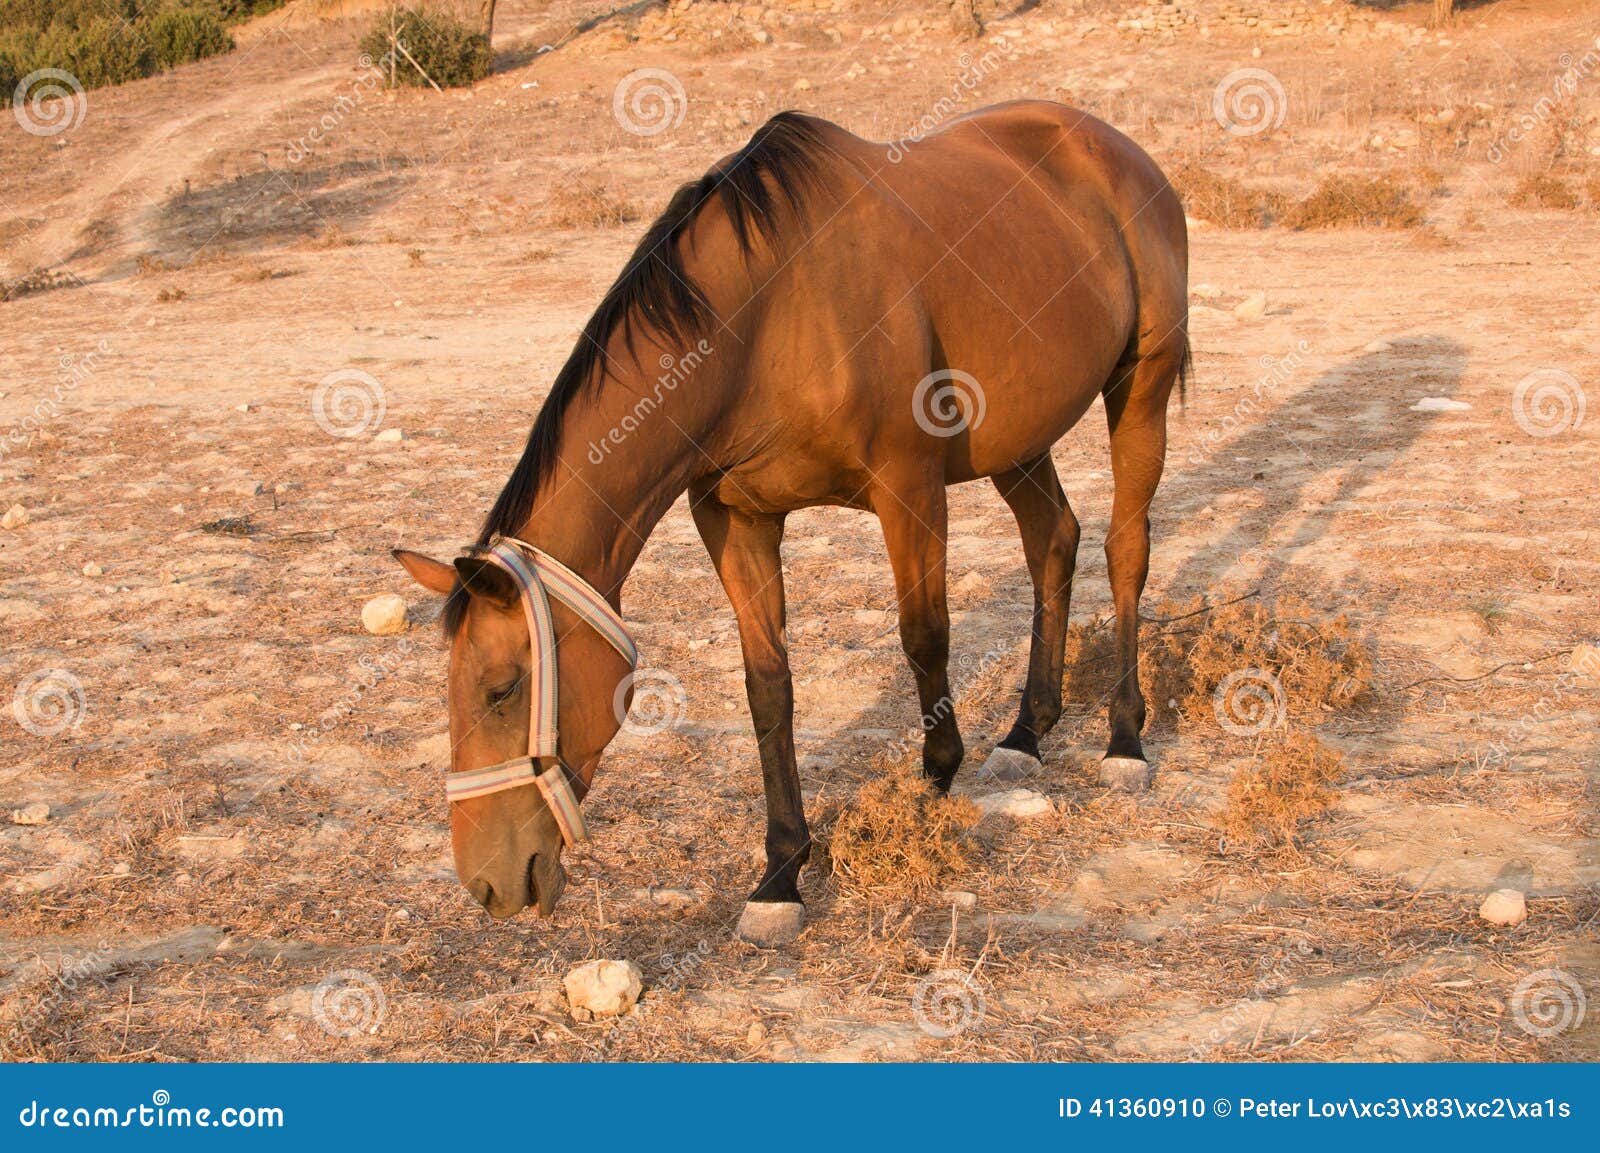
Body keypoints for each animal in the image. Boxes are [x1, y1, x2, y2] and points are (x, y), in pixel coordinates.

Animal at [394, 100, 1189, 947]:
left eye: (503, 689)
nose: (487, 880)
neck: (770, 315)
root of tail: (1118, 150)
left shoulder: (908, 486)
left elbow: (924, 636)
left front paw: (935, 775)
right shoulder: (735, 517)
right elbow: (767, 688)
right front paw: (781, 875)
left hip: (1139, 393)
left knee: (1124, 550)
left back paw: (1124, 739)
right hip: (1019, 438)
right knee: (1053, 542)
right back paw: (1027, 732)